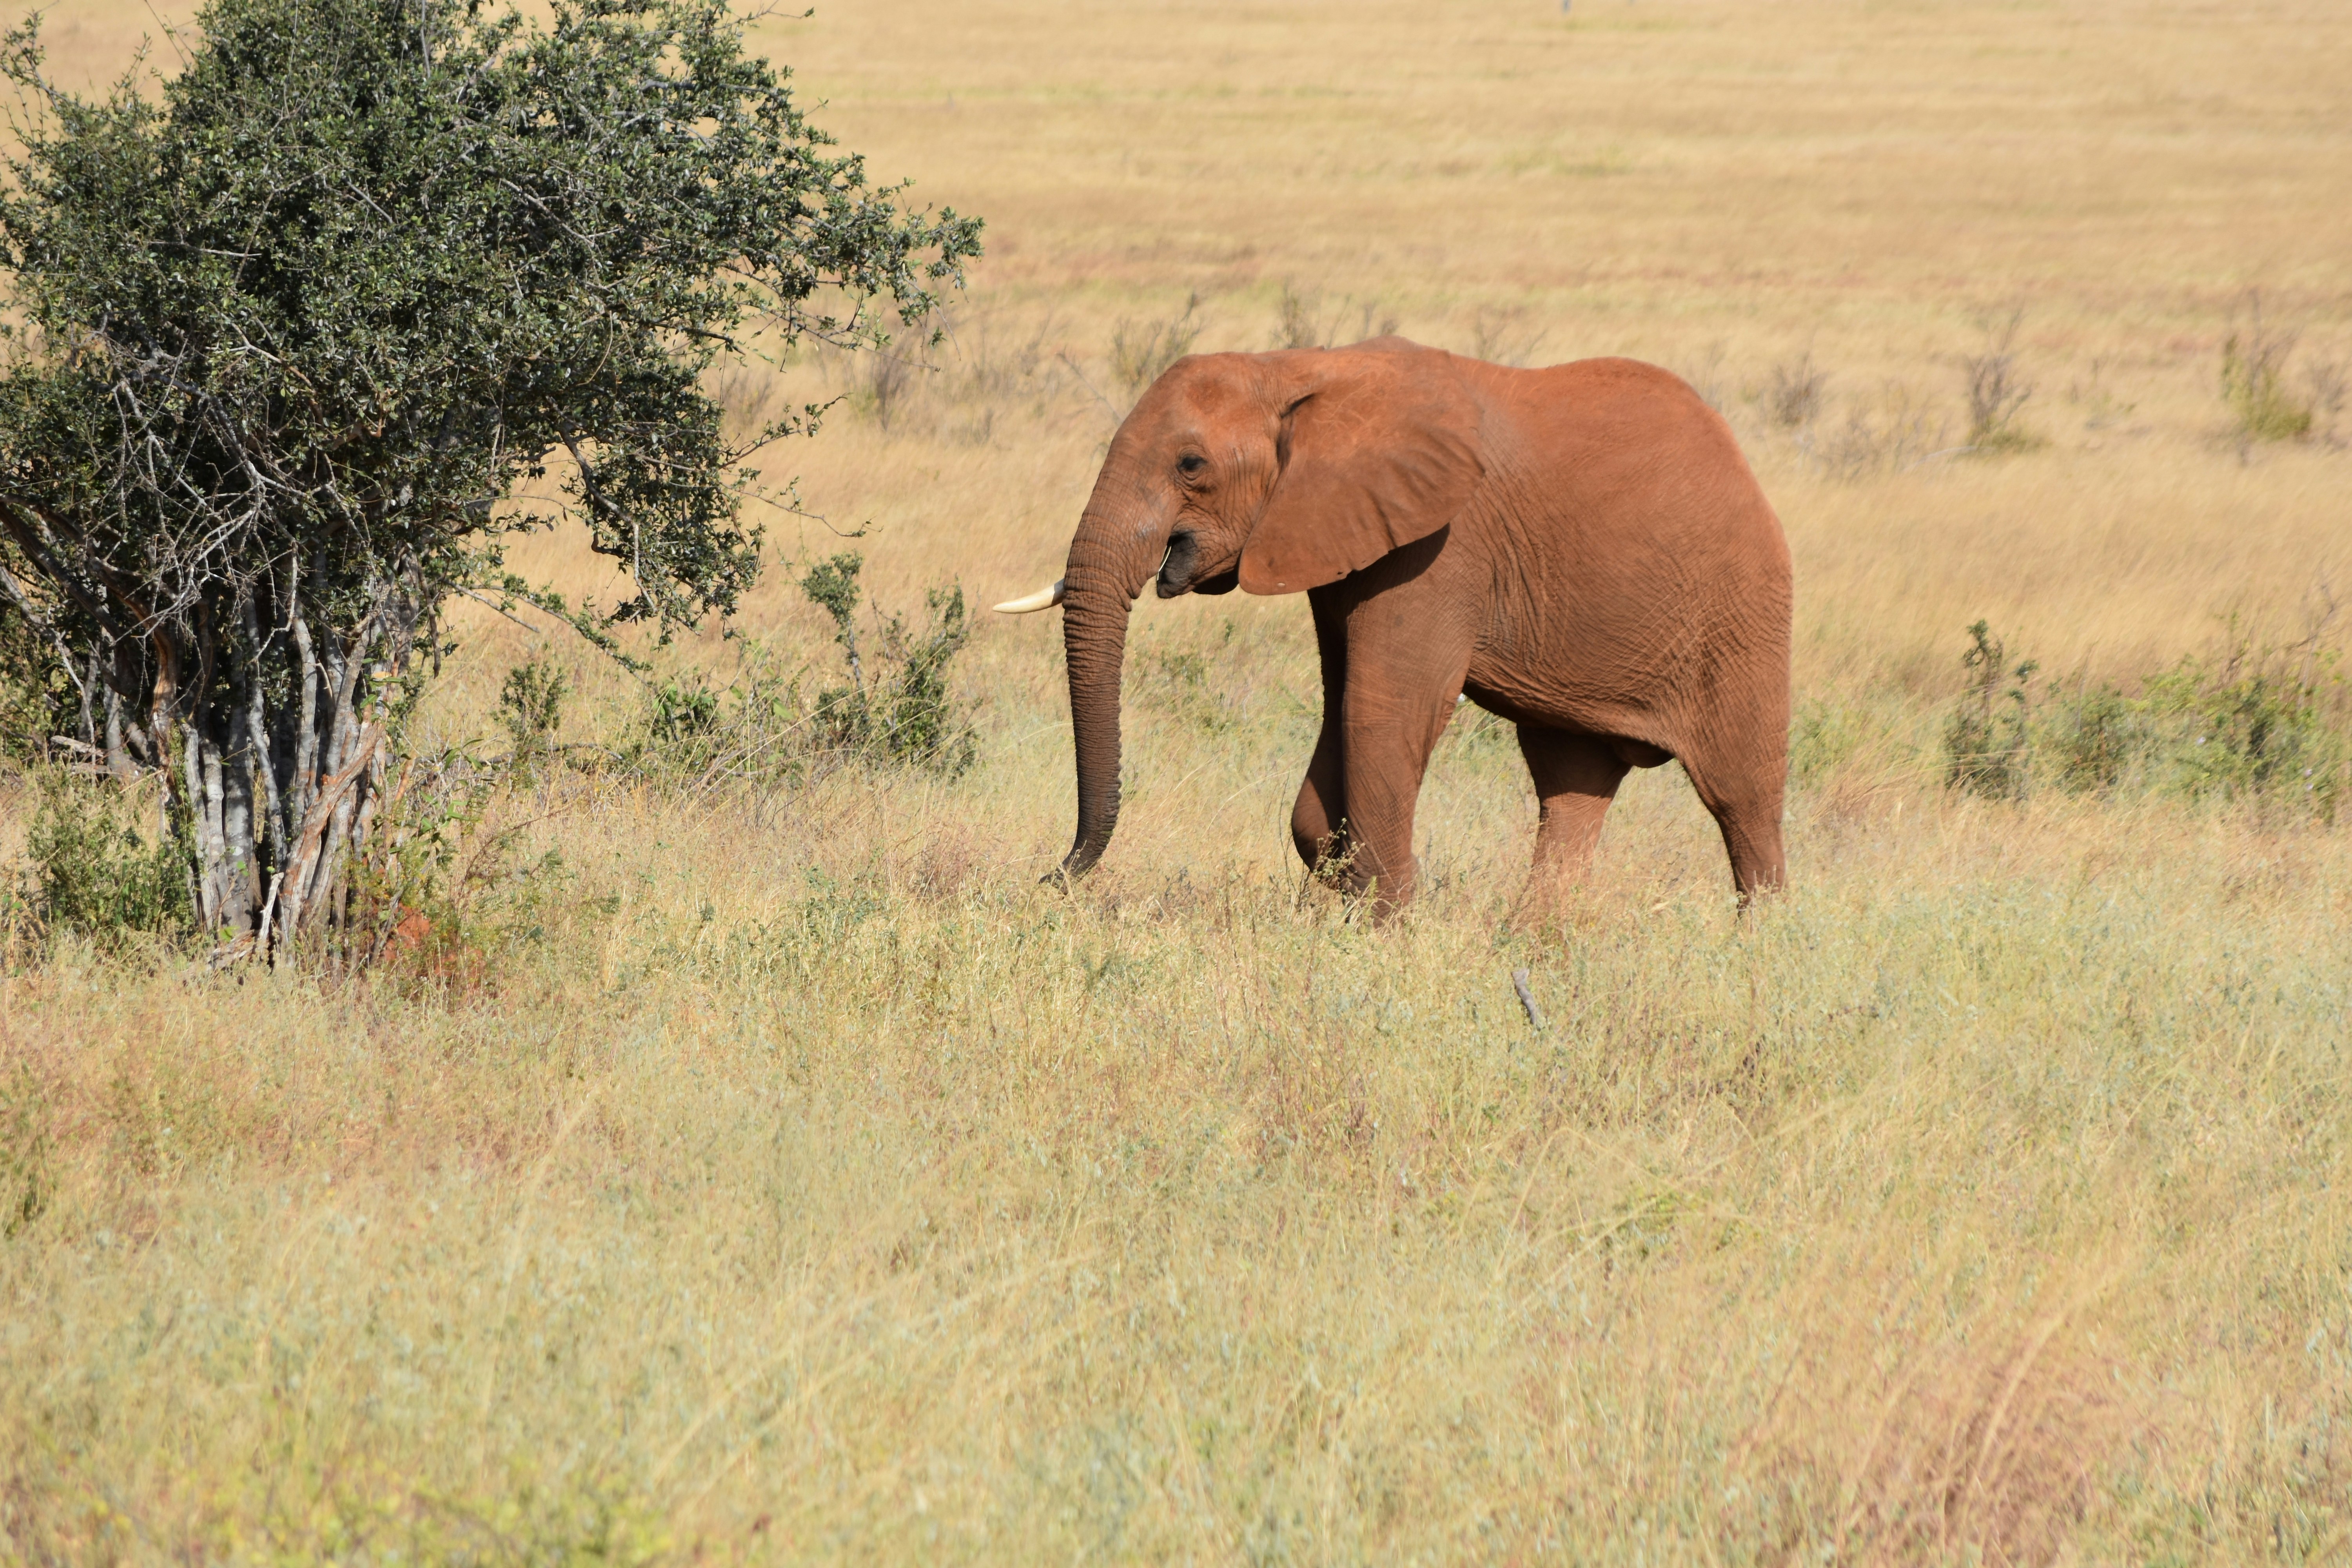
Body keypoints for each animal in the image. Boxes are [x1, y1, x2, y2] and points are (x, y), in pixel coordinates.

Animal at [996, 336, 1792, 917]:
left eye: (1191, 464)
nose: (1051, 878)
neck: (1297, 367)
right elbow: (1338, 707)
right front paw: (1348, 901)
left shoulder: (1441, 546)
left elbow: (1382, 708)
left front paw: (1388, 928)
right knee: (1571, 786)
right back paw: (1531, 948)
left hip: (1740, 614)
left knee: (1742, 800)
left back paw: (1763, 952)